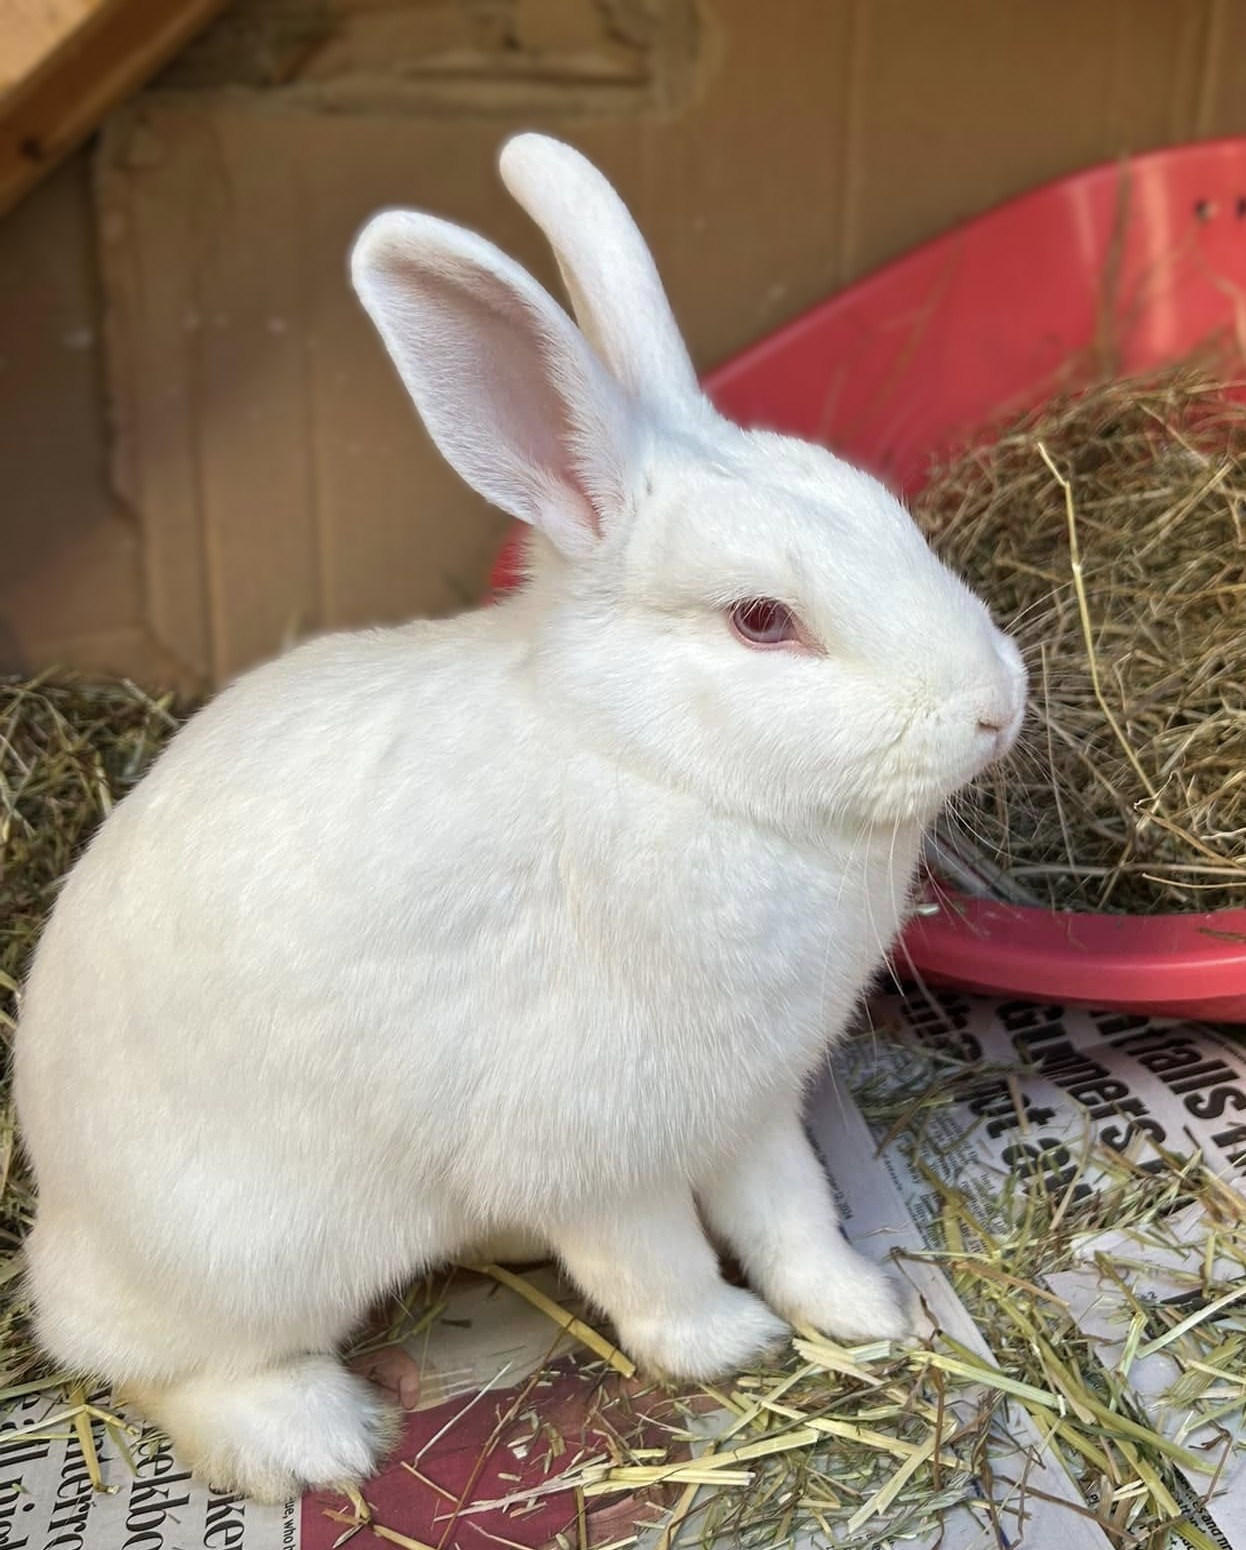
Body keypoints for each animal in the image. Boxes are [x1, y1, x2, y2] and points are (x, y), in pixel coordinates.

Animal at [14, 132, 1027, 1503]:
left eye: (886, 510)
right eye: (762, 619)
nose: (994, 705)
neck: (656, 764)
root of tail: (53, 1220)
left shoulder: (750, 1102)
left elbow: (790, 1210)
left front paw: (858, 1305)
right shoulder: (598, 1145)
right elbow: (654, 1260)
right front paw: (726, 1343)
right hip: (247, 1249)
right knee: (164, 1362)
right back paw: (320, 1436)